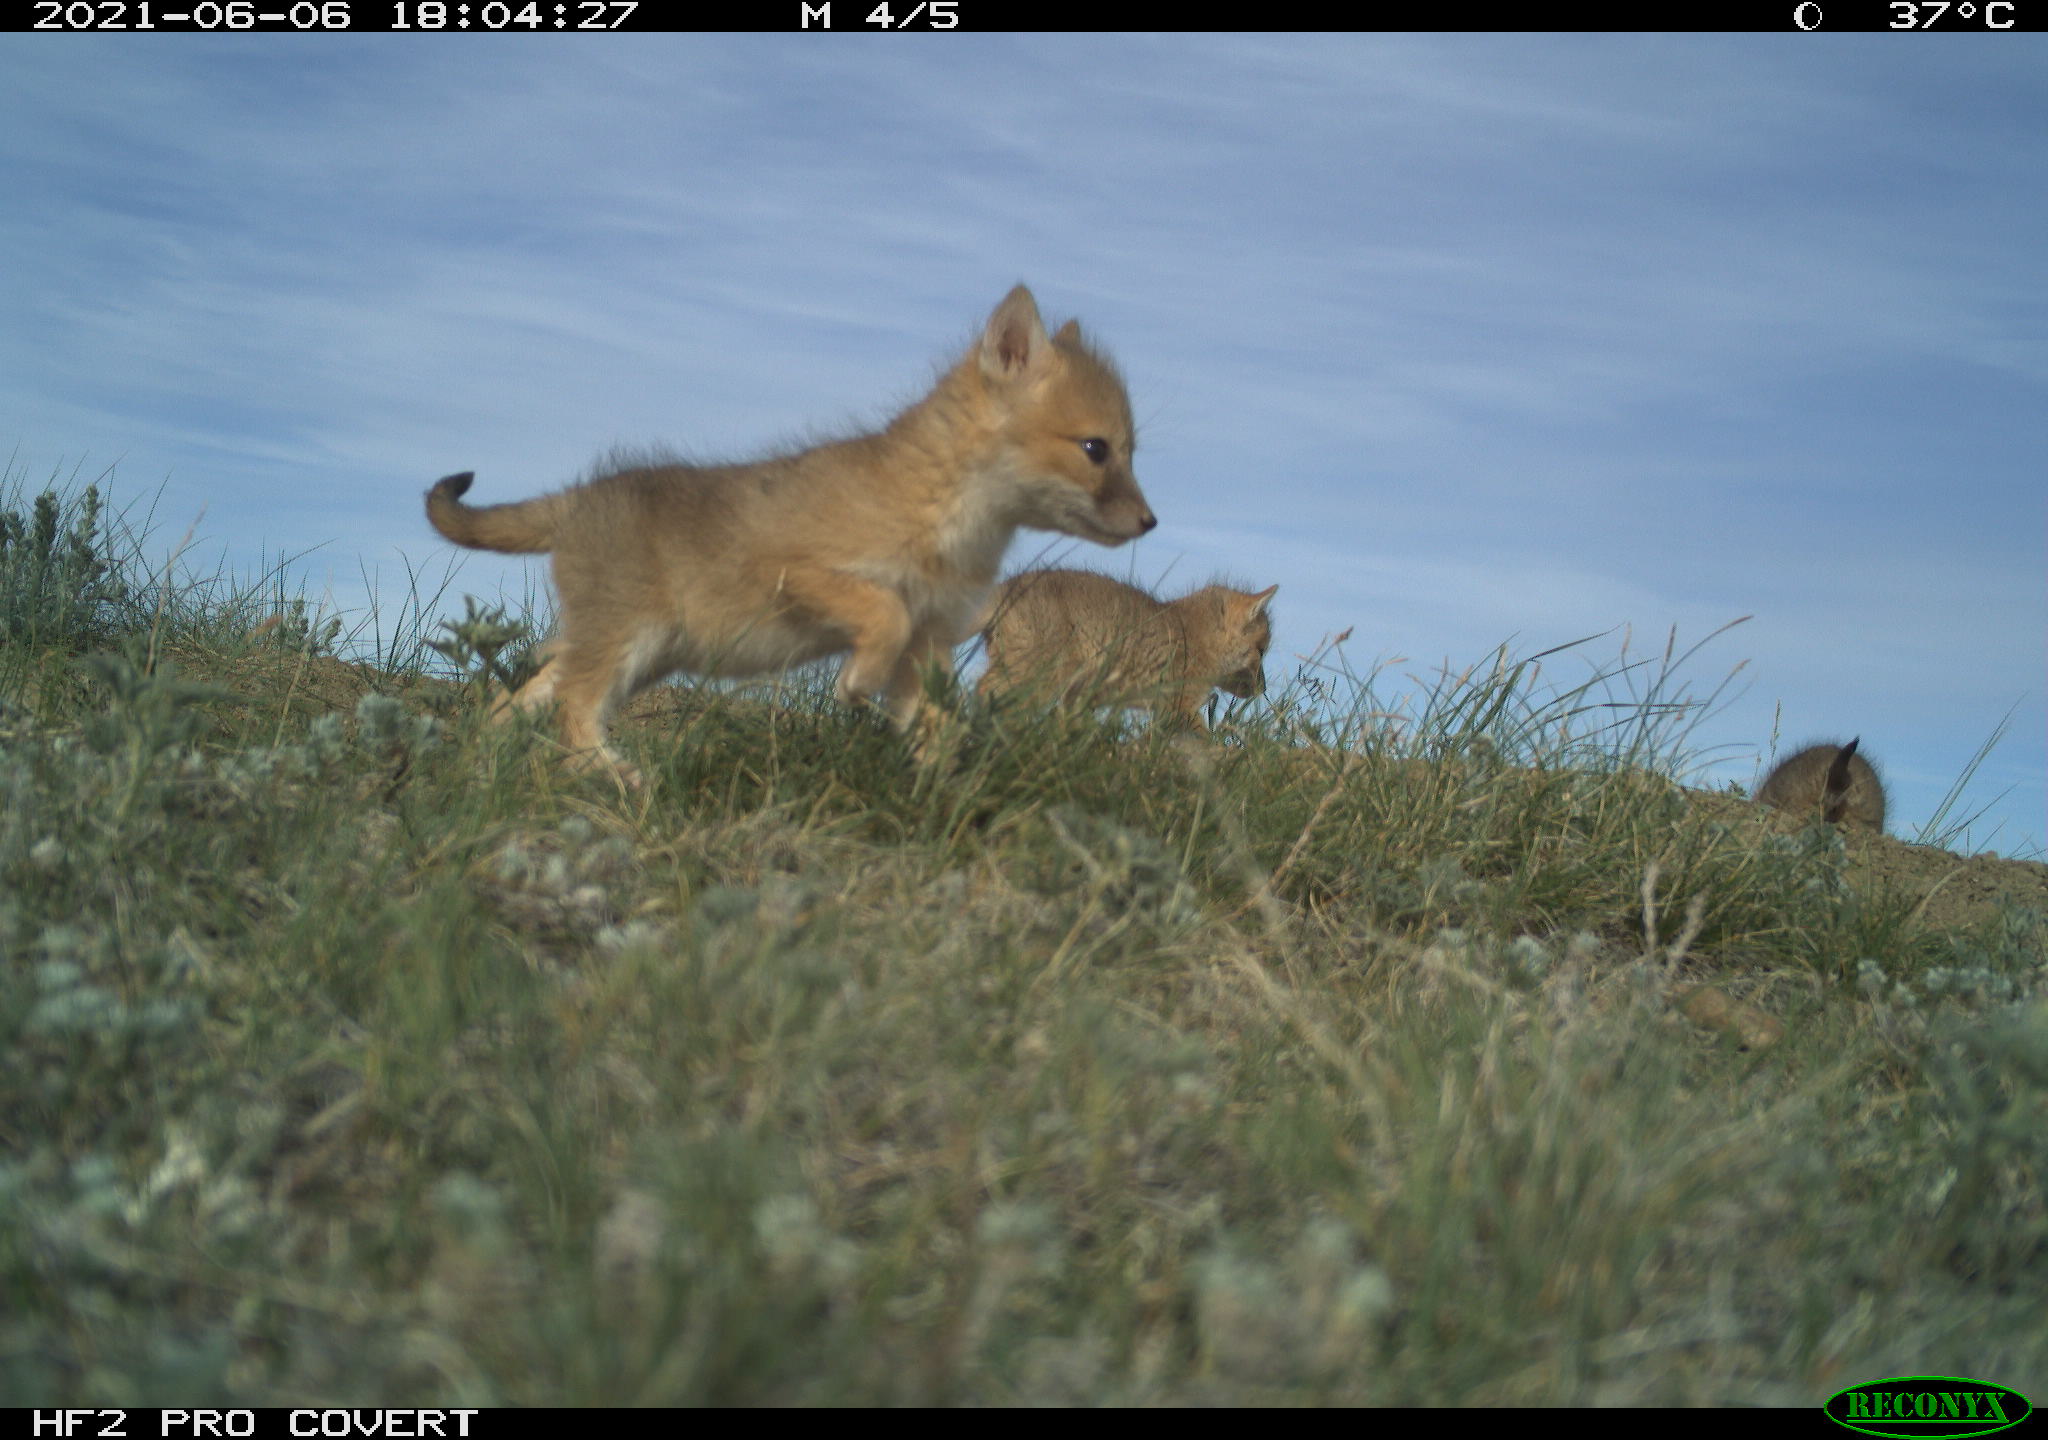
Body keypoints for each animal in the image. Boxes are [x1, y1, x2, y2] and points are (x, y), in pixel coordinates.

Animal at [425, 286, 1155, 779]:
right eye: (1097, 449)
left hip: (639, 654)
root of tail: (576, 498)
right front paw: (855, 686)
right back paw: (621, 776)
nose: (1150, 522)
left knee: (519, 701)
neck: (943, 508)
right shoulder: (811, 578)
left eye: (1130, 451)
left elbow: (938, 727)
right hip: (628, 647)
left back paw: (478, 773)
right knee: (571, 711)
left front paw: (935, 790)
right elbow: (882, 616)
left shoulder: (930, 644)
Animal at [977, 567, 1277, 730]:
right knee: (986, 691)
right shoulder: (1179, 708)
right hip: (1038, 677)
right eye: (1261, 652)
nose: (1263, 689)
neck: (1196, 632)